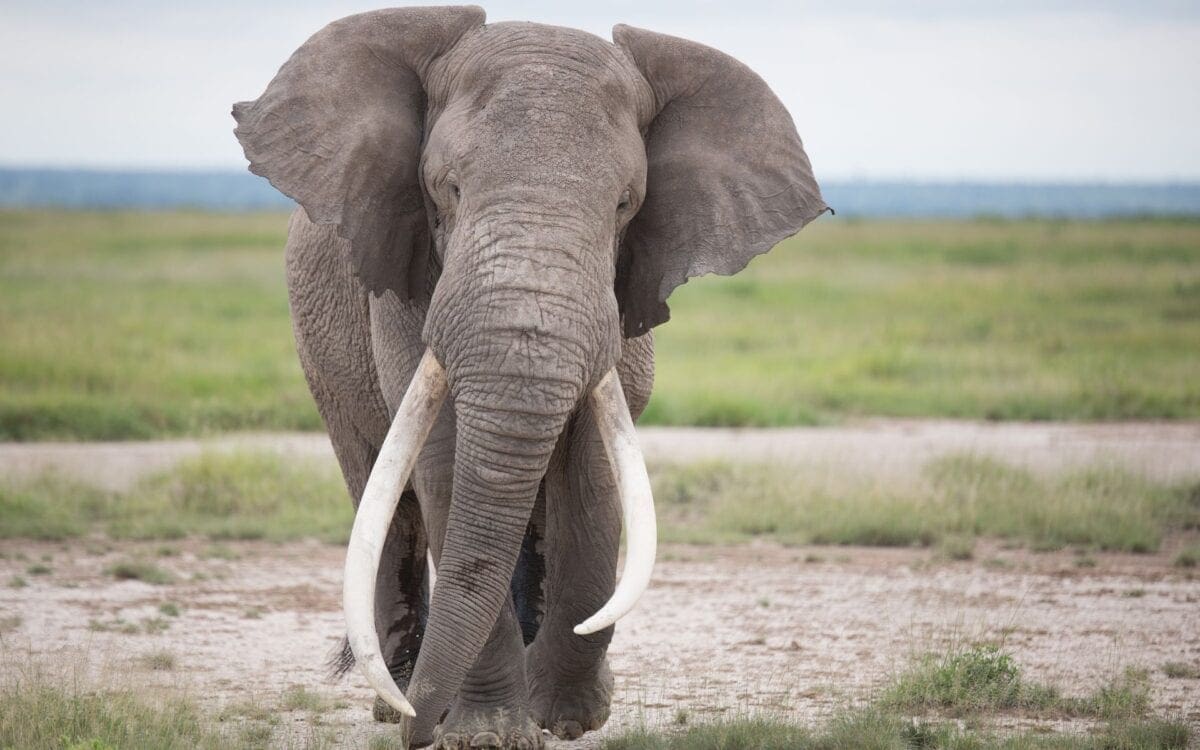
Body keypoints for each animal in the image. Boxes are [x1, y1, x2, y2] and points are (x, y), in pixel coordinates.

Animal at [232, 6, 826, 748]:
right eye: (448, 190)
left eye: (626, 204)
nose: (417, 730)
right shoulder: (410, 283)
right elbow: (444, 462)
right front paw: (486, 734)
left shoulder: (621, 297)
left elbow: (595, 470)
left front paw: (570, 718)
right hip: (320, 354)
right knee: (384, 491)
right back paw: (396, 697)